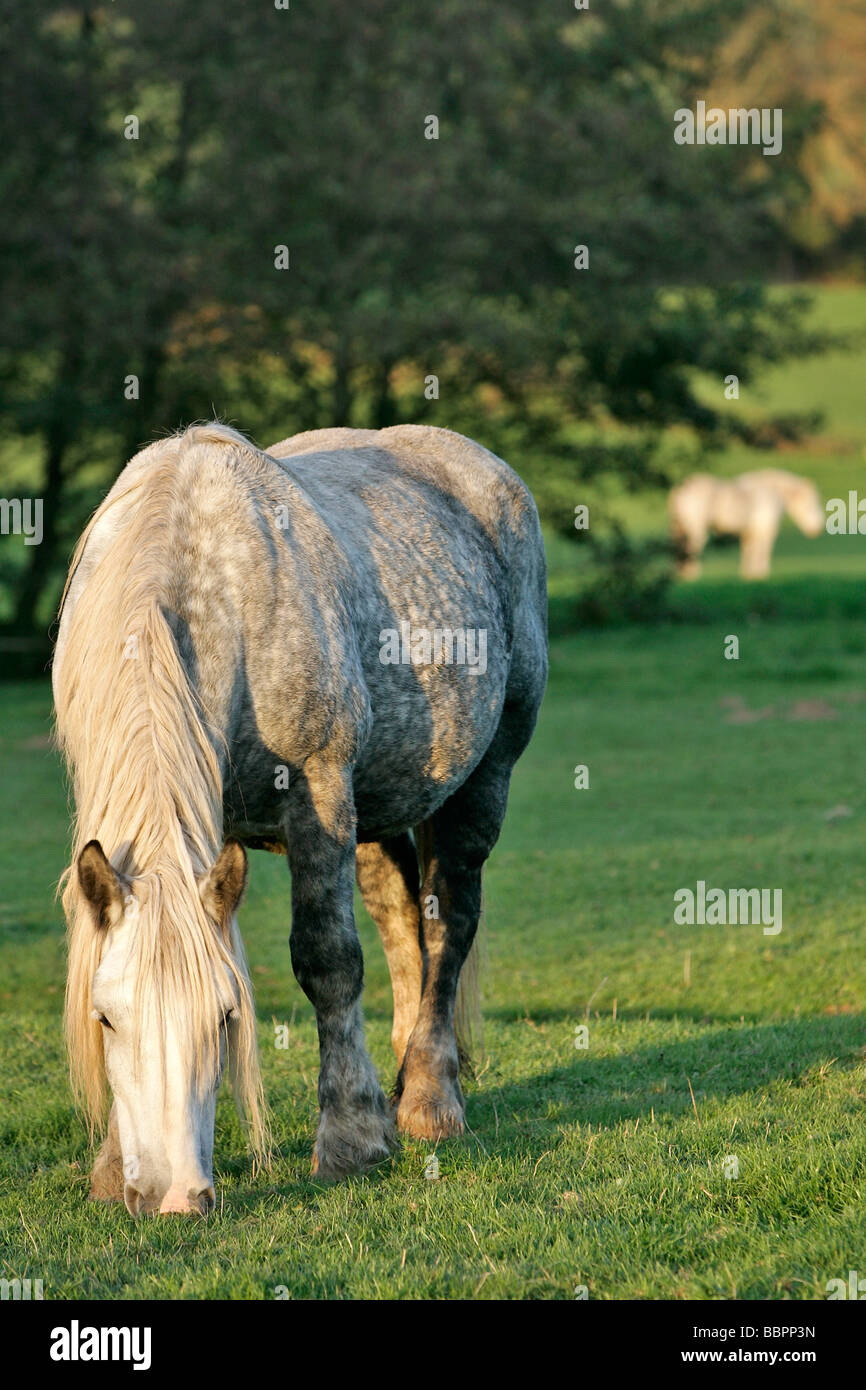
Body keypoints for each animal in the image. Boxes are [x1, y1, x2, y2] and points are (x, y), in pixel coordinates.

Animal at [53, 423, 548, 1216]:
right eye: (105, 1019)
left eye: (226, 1016)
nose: (173, 1194)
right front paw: (108, 1167)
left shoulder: (318, 796)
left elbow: (329, 962)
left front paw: (350, 1141)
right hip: (376, 810)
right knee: (402, 922)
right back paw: (400, 1085)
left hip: (481, 781)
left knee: (449, 924)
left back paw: (429, 1099)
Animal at [668, 469, 824, 580]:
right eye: (811, 504)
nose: (818, 529)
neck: (771, 492)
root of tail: (681, 489)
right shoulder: (765, 528)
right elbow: (762, 550)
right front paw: (761, 573)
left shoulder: (749, 531)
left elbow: (748, 550)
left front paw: (748, 574)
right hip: (695, 529)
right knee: (691, 547)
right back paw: (692, 574)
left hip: (680, 527)